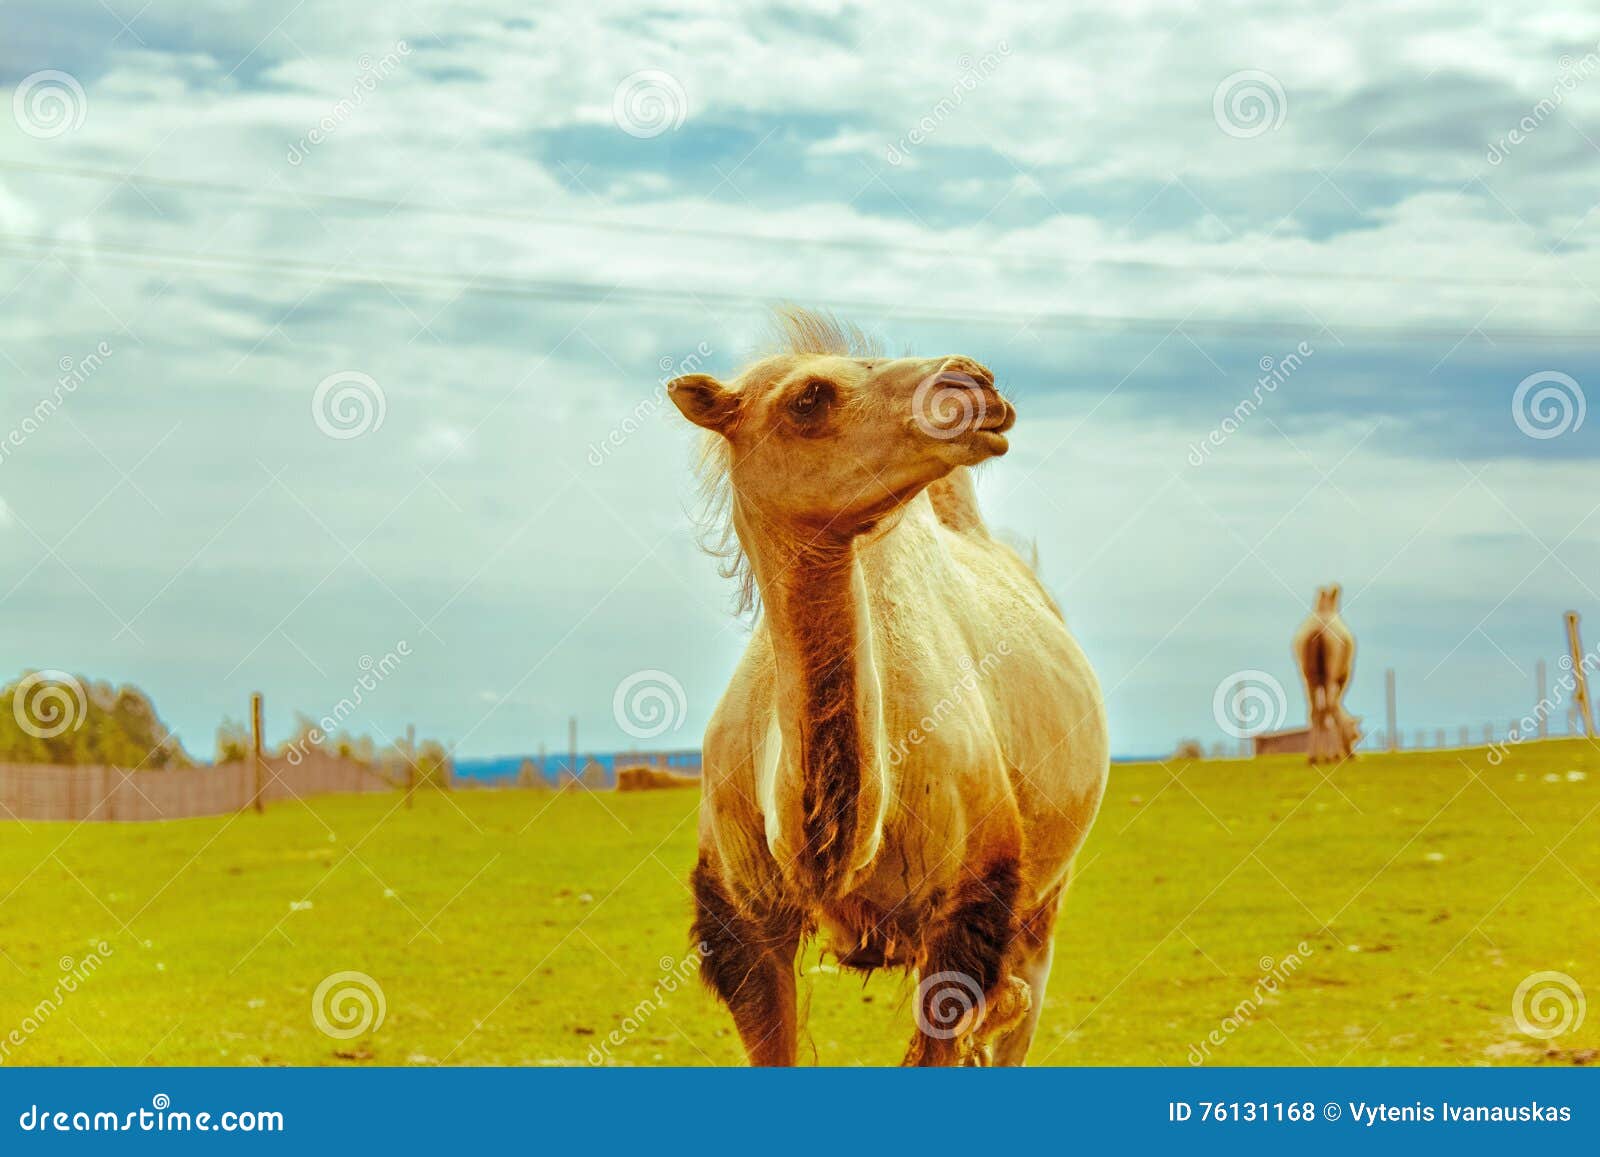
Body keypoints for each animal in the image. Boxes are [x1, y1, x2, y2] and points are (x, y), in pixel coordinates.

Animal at [1292, 584, 1360, 764]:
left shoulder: (1318, 679)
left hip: (1307, 674)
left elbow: (1322, 712)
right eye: (1354, 734)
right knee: (1329, 706)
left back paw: (1312, 757)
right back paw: (1328, 756)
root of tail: (1319, 631)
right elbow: (1333, 708)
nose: (1353, 752)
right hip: (1331, 668)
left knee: (1313, 710)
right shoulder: (1343, 677)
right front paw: (1336, 755)